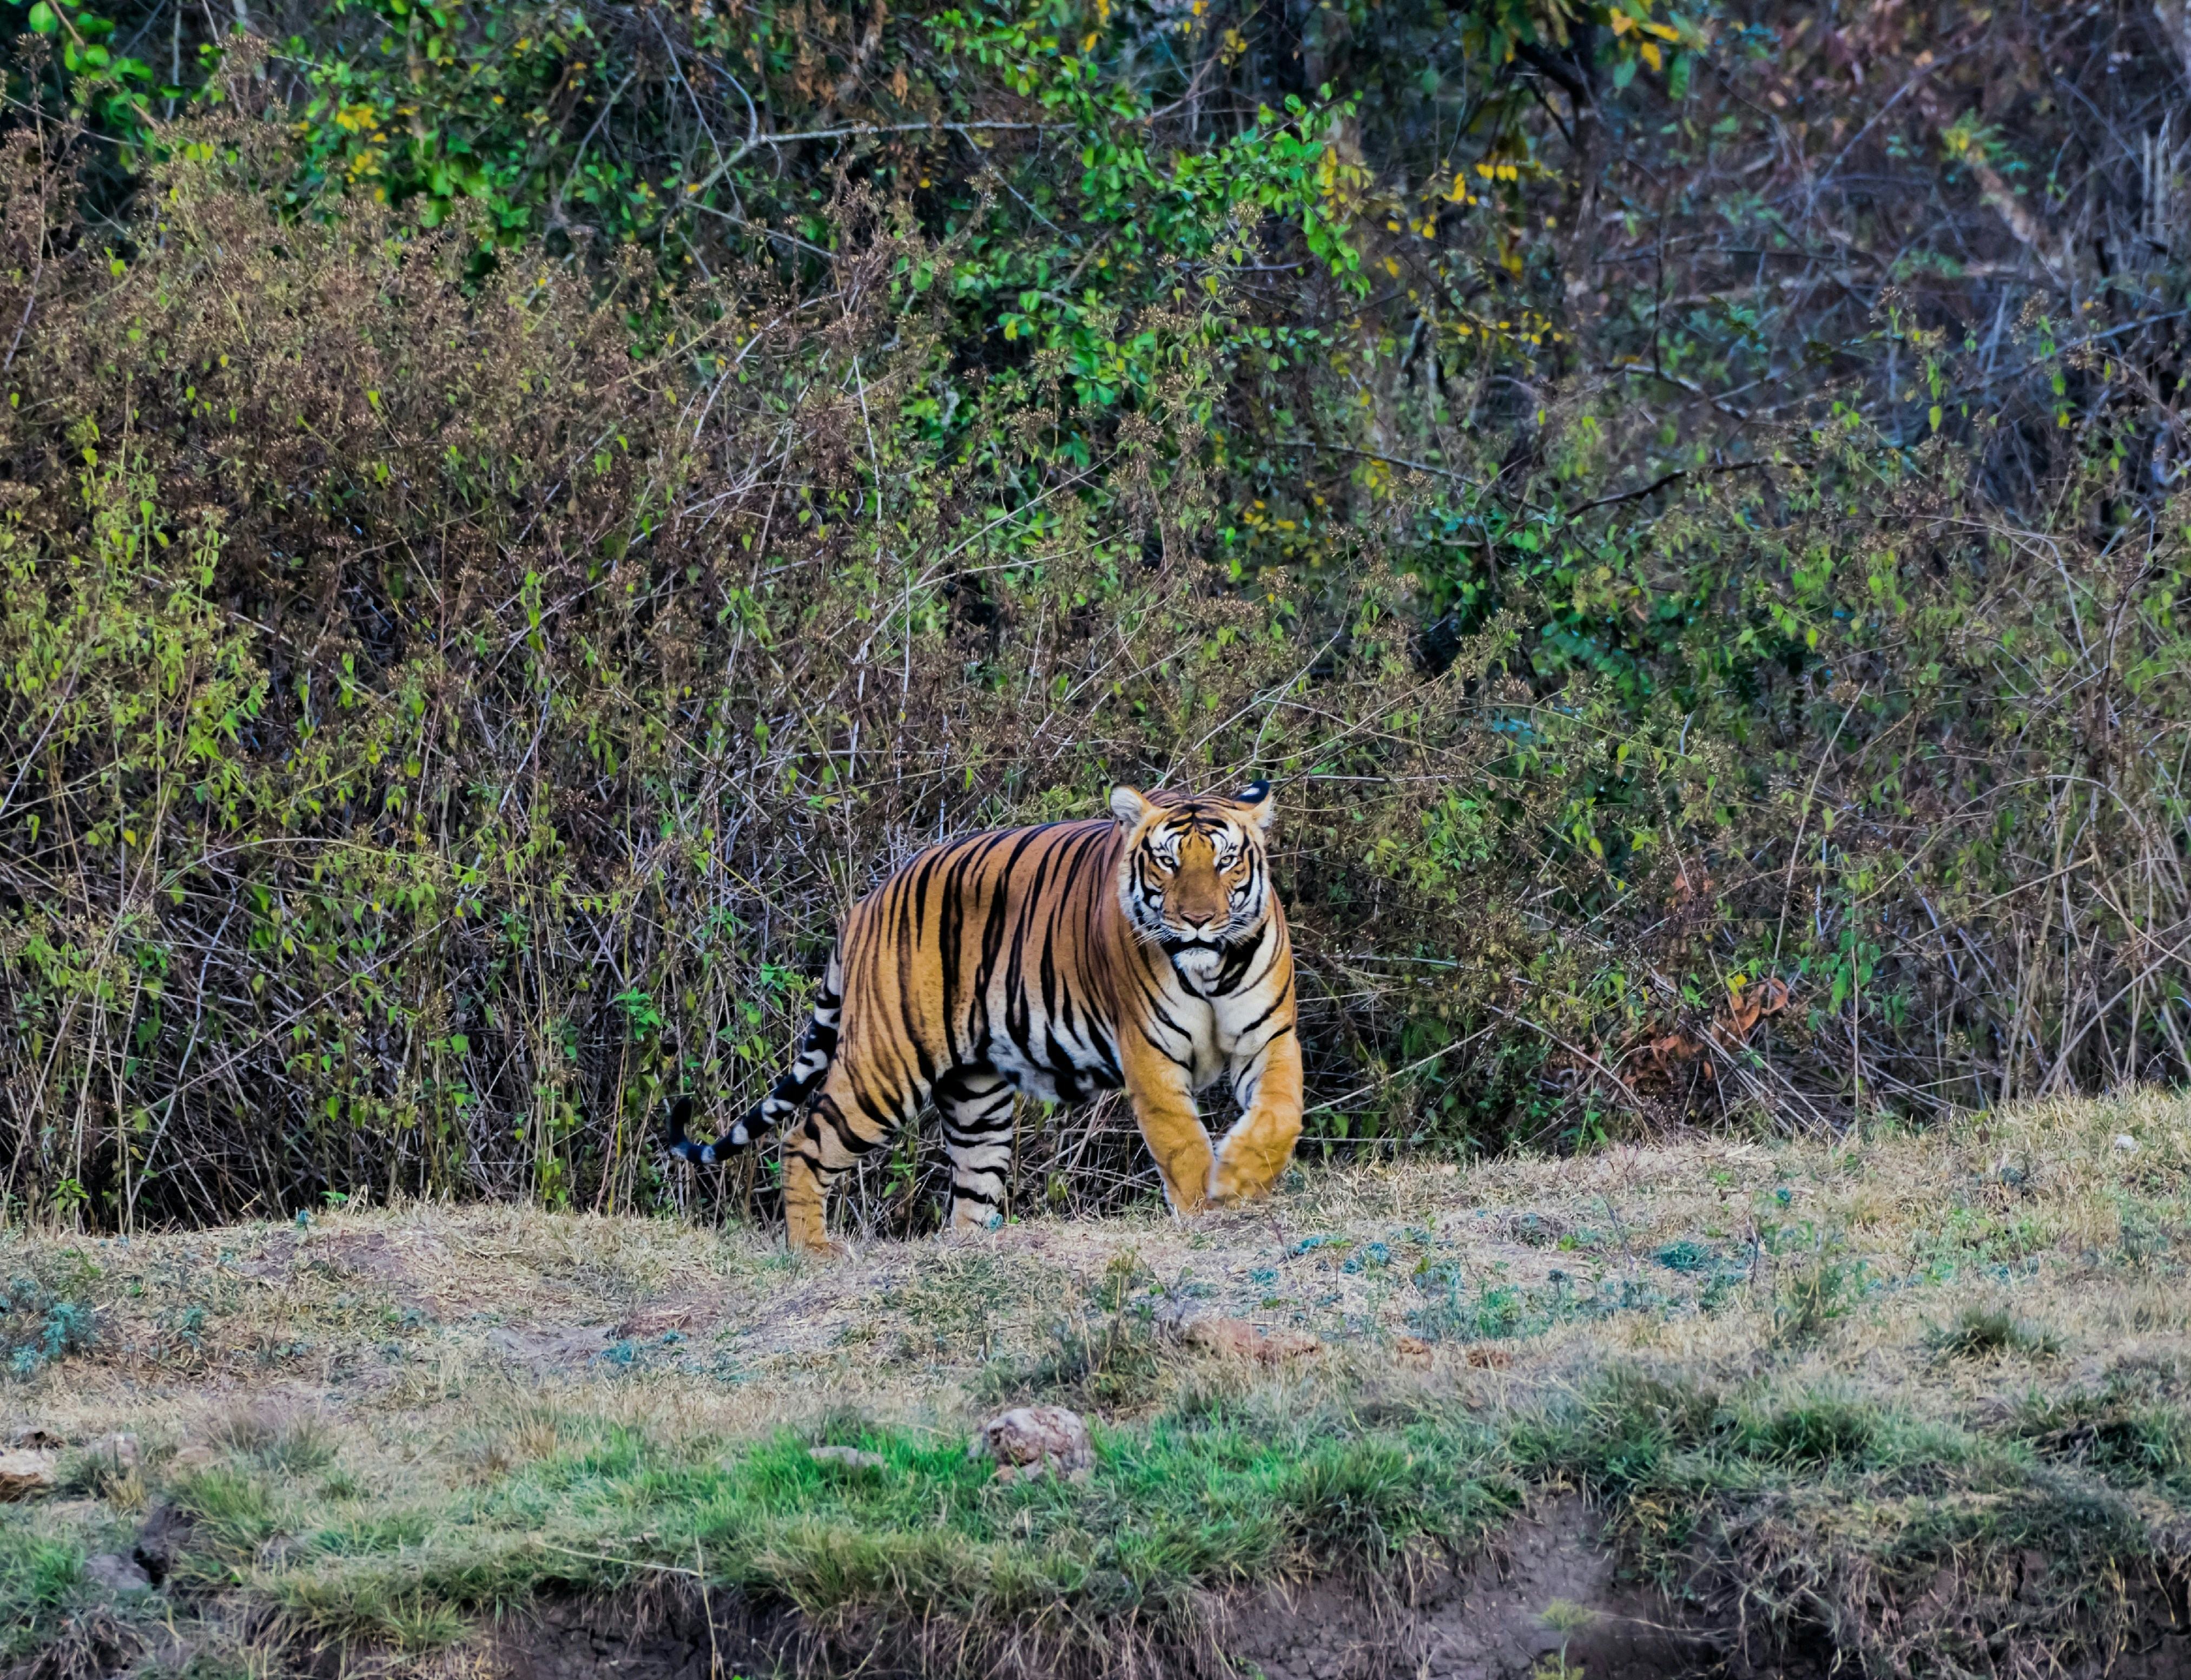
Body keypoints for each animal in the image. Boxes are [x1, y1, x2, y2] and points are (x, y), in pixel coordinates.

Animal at [665, 781, 1302, 1253]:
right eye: (1167, 864)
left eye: (1225, 862)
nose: (1196, 921)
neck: (1210, 969)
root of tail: (866, 903)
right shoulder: (1151, 1056)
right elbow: (1182, 1143)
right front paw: (1206, 1208)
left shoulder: (1270, 1037)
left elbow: (1280, 1116)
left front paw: (1242, 1180)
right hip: (885, 1068)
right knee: (802, 1140)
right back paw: (813, 1251)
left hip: (976, 1097)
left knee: (970, 1190)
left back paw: (971, 1250)